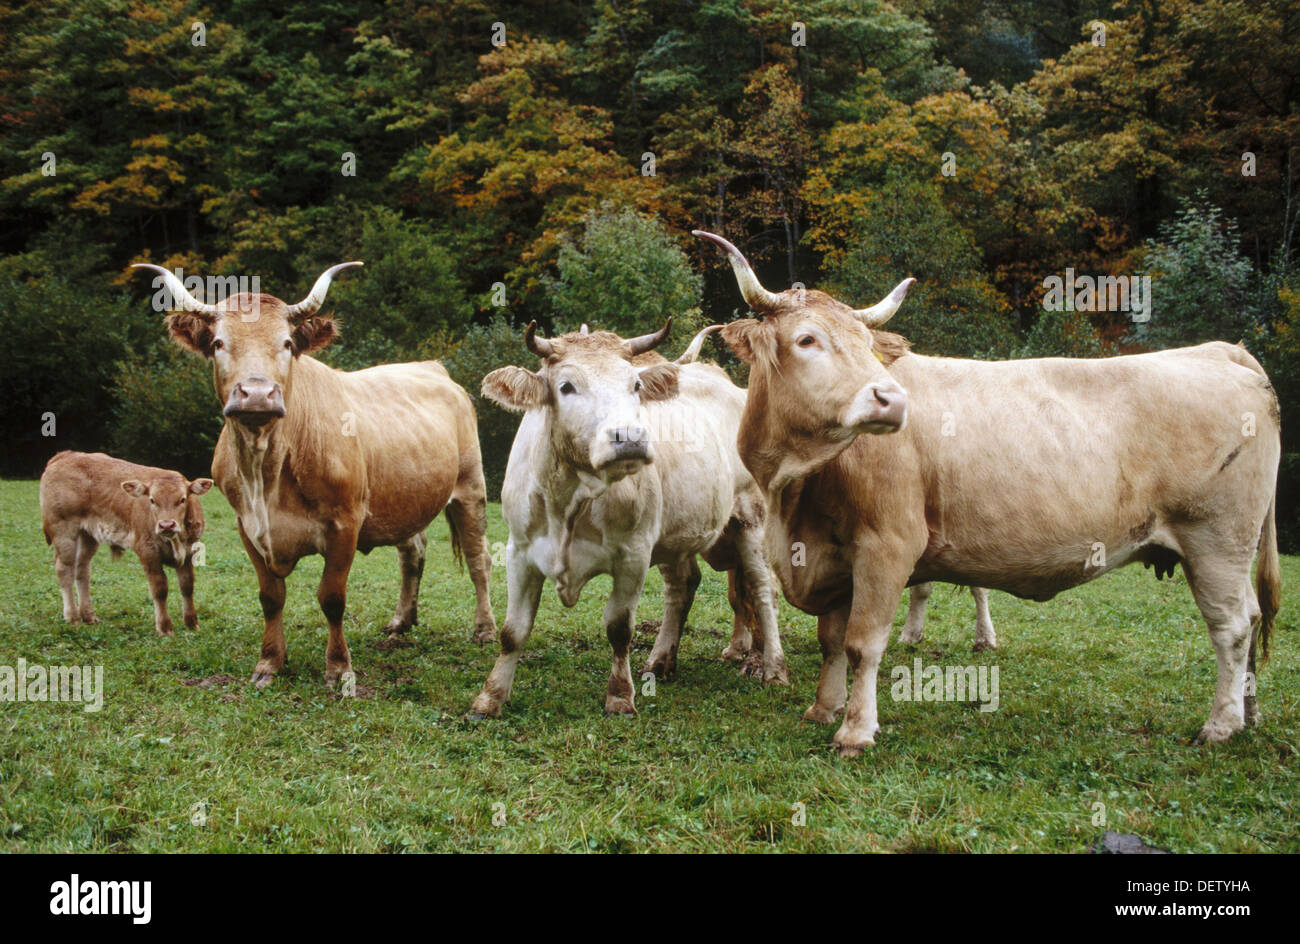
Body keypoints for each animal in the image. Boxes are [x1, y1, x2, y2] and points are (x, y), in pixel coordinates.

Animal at [40, 450, 213, 636]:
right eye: (152, 500)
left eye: (182, 499)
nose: (166, 525)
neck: (175, 541)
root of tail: (65, 456)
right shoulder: (147, 551)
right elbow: (159, 588)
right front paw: (164, 627)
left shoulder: (189, 552)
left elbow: (187, 586)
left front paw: (191, 623)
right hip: (63, 530)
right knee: (64, 569)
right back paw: (73, 617)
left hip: (88, 534)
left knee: (82, 570)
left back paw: (88, 615)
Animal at [131, 263, 497, 688]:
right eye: (219, 343)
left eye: (287, 343)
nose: (257, 395)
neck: (266, 470)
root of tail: (430, 367)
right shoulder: (247, 526)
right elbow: (270, 597)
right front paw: (269, 663)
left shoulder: (345, 523)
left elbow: (332, 598)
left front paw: (338, 668)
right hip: (404, 496)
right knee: (413, 554)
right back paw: (401, 621)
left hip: (470, 487)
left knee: (478, 559)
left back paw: (485, 629)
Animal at [469, 320, 787, 718]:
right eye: (566, 386)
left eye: (635, 385)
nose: (631, 437)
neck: (569, 499)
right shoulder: (520, 552)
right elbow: (514, 631)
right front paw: (490, 697)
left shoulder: (633, 555)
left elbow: (619, 629)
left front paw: (620, 696)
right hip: (675, 535)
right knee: (682, 587)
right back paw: (661, 661)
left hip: (752, 521)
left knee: (763, 588)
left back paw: (772, 666)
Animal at [694, 230, 1281, 755]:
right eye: (806, 339)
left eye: (867, 348)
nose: (892, 399)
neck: (795, 491)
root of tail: (1220, 351)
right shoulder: (831, 559)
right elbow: (831, 640)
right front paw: (823, 709)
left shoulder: (888, 545)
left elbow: (863, 643)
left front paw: (855, 731)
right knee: (1253, 619)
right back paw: (1250, 713)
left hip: (1217, 541)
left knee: (1231, 628)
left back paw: (1220, 725)